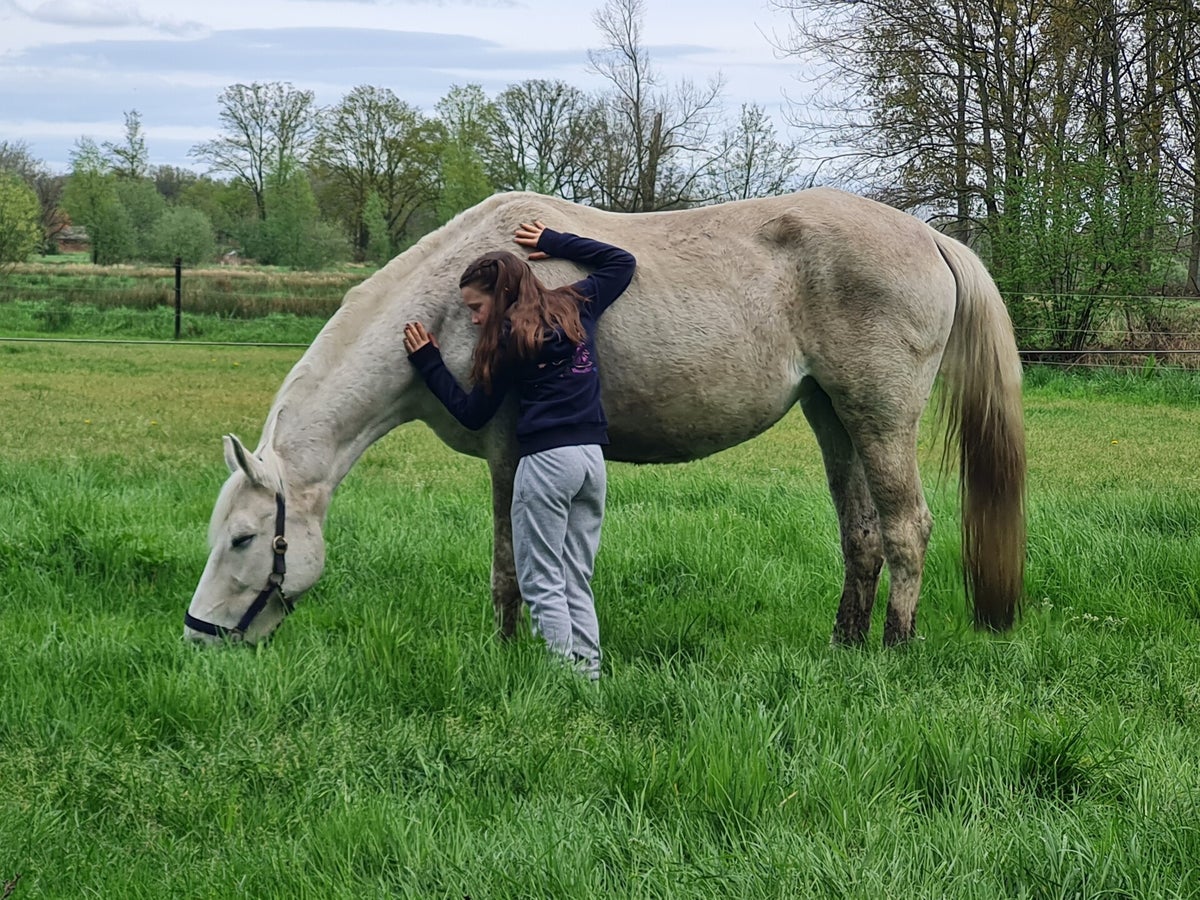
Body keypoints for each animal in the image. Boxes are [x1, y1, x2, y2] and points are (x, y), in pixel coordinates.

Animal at [183, 187, 1026, 648]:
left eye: (245, 539)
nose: (200, 633)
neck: (458, 304)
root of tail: (930, 235)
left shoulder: (508, 456)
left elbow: (509, 569)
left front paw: (507, 652)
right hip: (833, 418)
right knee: (862, 536)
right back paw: (844, 645)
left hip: (880, 418)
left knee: (907, 529)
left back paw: (894, 647)